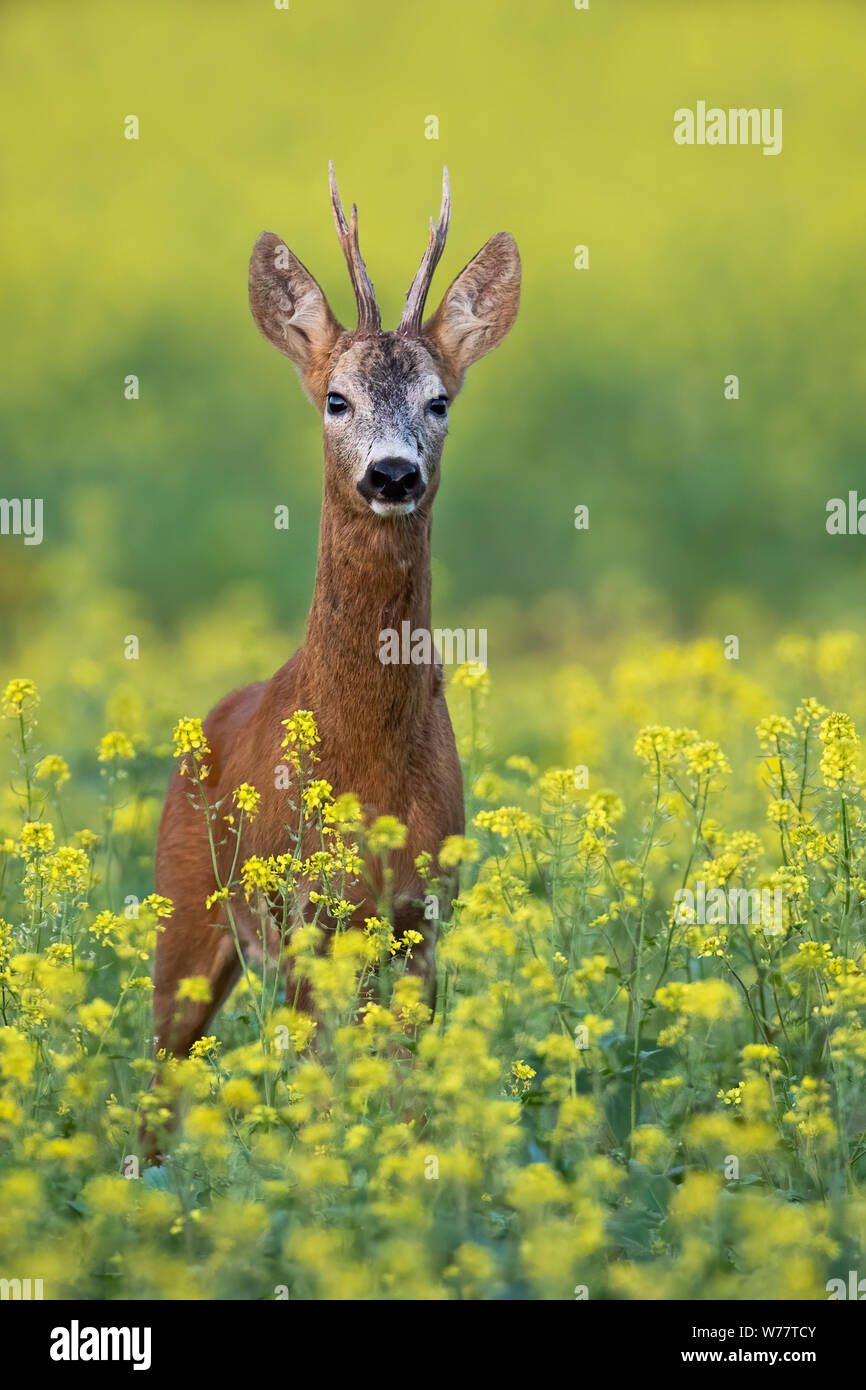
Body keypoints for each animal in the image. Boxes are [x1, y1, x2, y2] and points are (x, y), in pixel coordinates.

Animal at [150, 164, 520, 1067]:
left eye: (439, 401)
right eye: (336, 399)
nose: (392, 473)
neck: (366, 766)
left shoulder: (422, 916)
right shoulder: (303, 918)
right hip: (184, 911)